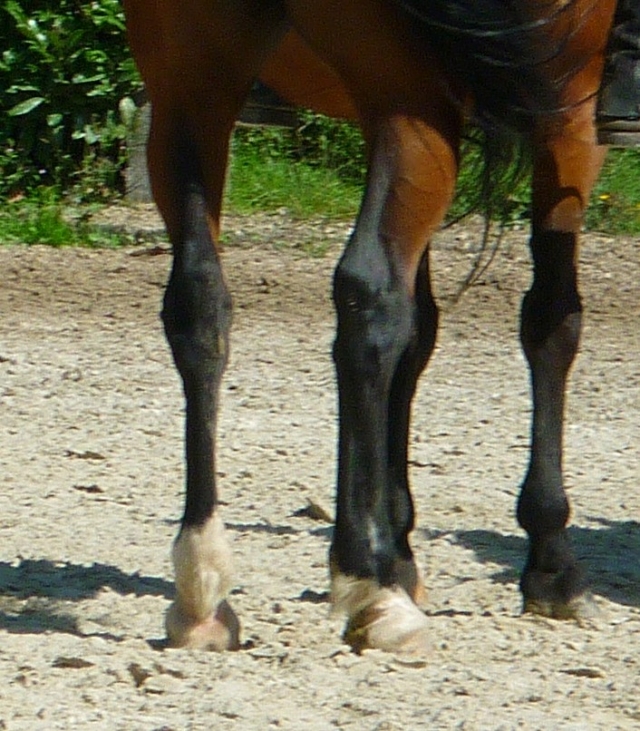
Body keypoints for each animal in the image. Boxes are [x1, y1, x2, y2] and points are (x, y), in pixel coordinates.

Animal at [122, 0, 616, 654]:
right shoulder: (568, 113)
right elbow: (551, 324)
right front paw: (552, 564)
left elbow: (418, 335)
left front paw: (402, 552)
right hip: (415, 99)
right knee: (368, 294)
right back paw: (369, 585)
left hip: (189, 83)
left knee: (199, 303)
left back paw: (202, 582)